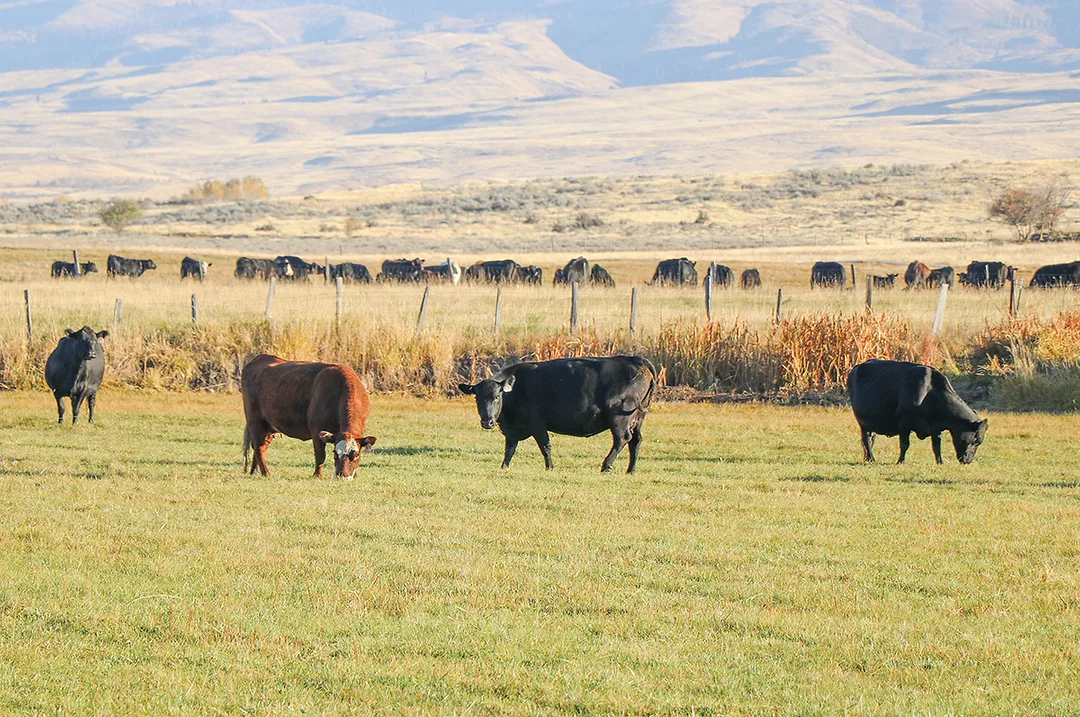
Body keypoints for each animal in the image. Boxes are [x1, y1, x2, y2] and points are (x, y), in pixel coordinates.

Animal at [240, 354, 376, 479]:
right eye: (335, 453)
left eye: (356, 455)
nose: (342, 475)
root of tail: (259, 358)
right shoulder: (316, 430)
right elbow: (320, 456)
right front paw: (317, 475)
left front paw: (355, 475)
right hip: (255, 421)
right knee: (259, 448)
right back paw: (266, 473)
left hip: (268, 428)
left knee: (258, 447)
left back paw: (255, 472)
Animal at [458, 356, 657, 473]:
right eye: (477, 398)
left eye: (497, 396)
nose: (488, 422)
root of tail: (637, 360)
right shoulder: (513, 430)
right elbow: (510, 449)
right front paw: (504, 466)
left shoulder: (537, 424)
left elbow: (545, 446)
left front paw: (550, 466)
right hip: (637, 419)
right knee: (636, 441)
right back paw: (631, 469)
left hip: (619, 418)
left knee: (622, 439)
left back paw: (606, 465)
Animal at [847, 359, 988, 465]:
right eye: (974, 440)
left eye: (978, 442)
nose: (967, 461)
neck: (928, 391)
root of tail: (858, 367)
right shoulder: (904, 423)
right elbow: (905, 444)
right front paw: (900, 461)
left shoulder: (936, 427)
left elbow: (936, 447)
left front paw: (940, 462)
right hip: (862, 422)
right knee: (866, 439)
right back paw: (871, 458)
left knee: (871, 438)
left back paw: (867, 458)